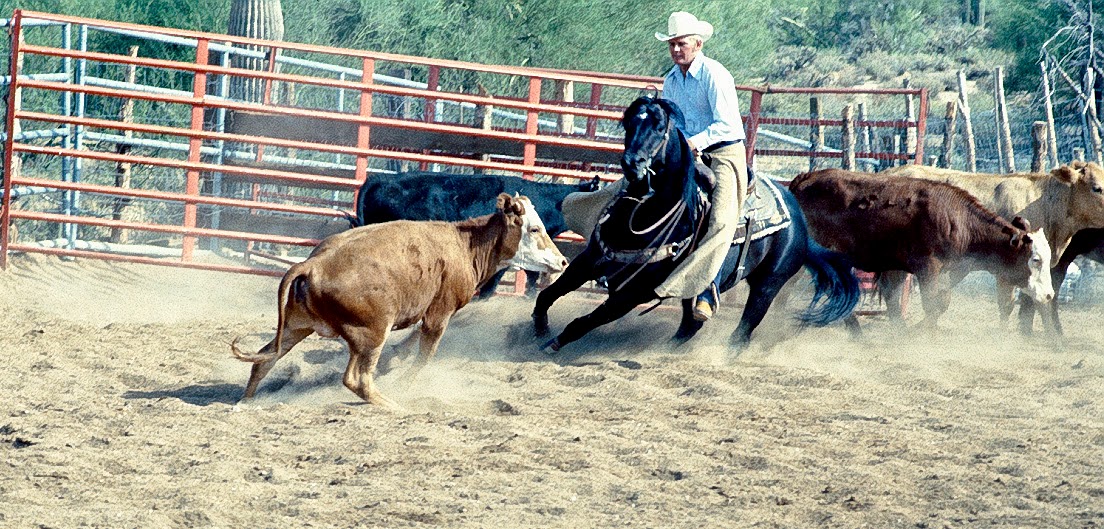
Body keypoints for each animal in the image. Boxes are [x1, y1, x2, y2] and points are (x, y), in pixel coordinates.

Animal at [532, 96, 861, 353]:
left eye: (659, 127)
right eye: (628, 123)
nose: (633, 164)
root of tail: (797, 217)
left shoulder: (636, 292)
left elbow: (585, 321)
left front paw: (551, 344)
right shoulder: (590, 260)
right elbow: (547, 295)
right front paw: (538, 329)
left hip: (768, 284)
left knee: (742, 331)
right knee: (690, 326)